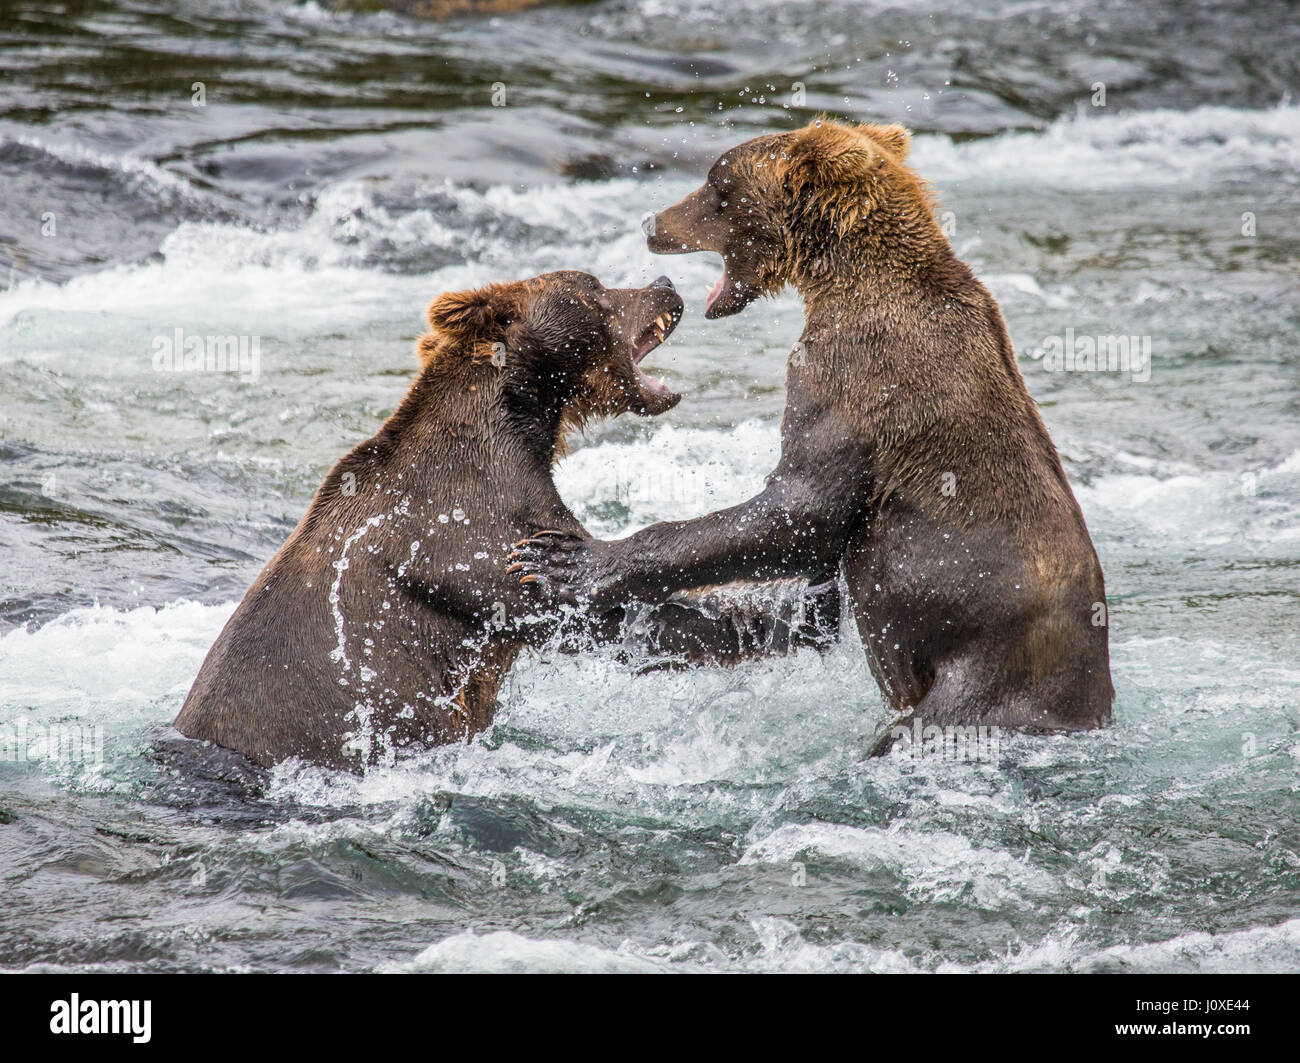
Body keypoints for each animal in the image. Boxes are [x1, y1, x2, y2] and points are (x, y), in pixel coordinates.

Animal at [174, 270, 837, 770]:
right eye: (591, 286)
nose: (664, 282)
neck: (517, 425)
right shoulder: (465, 530)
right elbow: (589, 608)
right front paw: (782, 621)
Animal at [509, 119, 1115, 749]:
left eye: (716, 184)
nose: (652, 223)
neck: (845, 280)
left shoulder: (851, 378)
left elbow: (803, 506)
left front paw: (569, 560)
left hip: (984, 676)